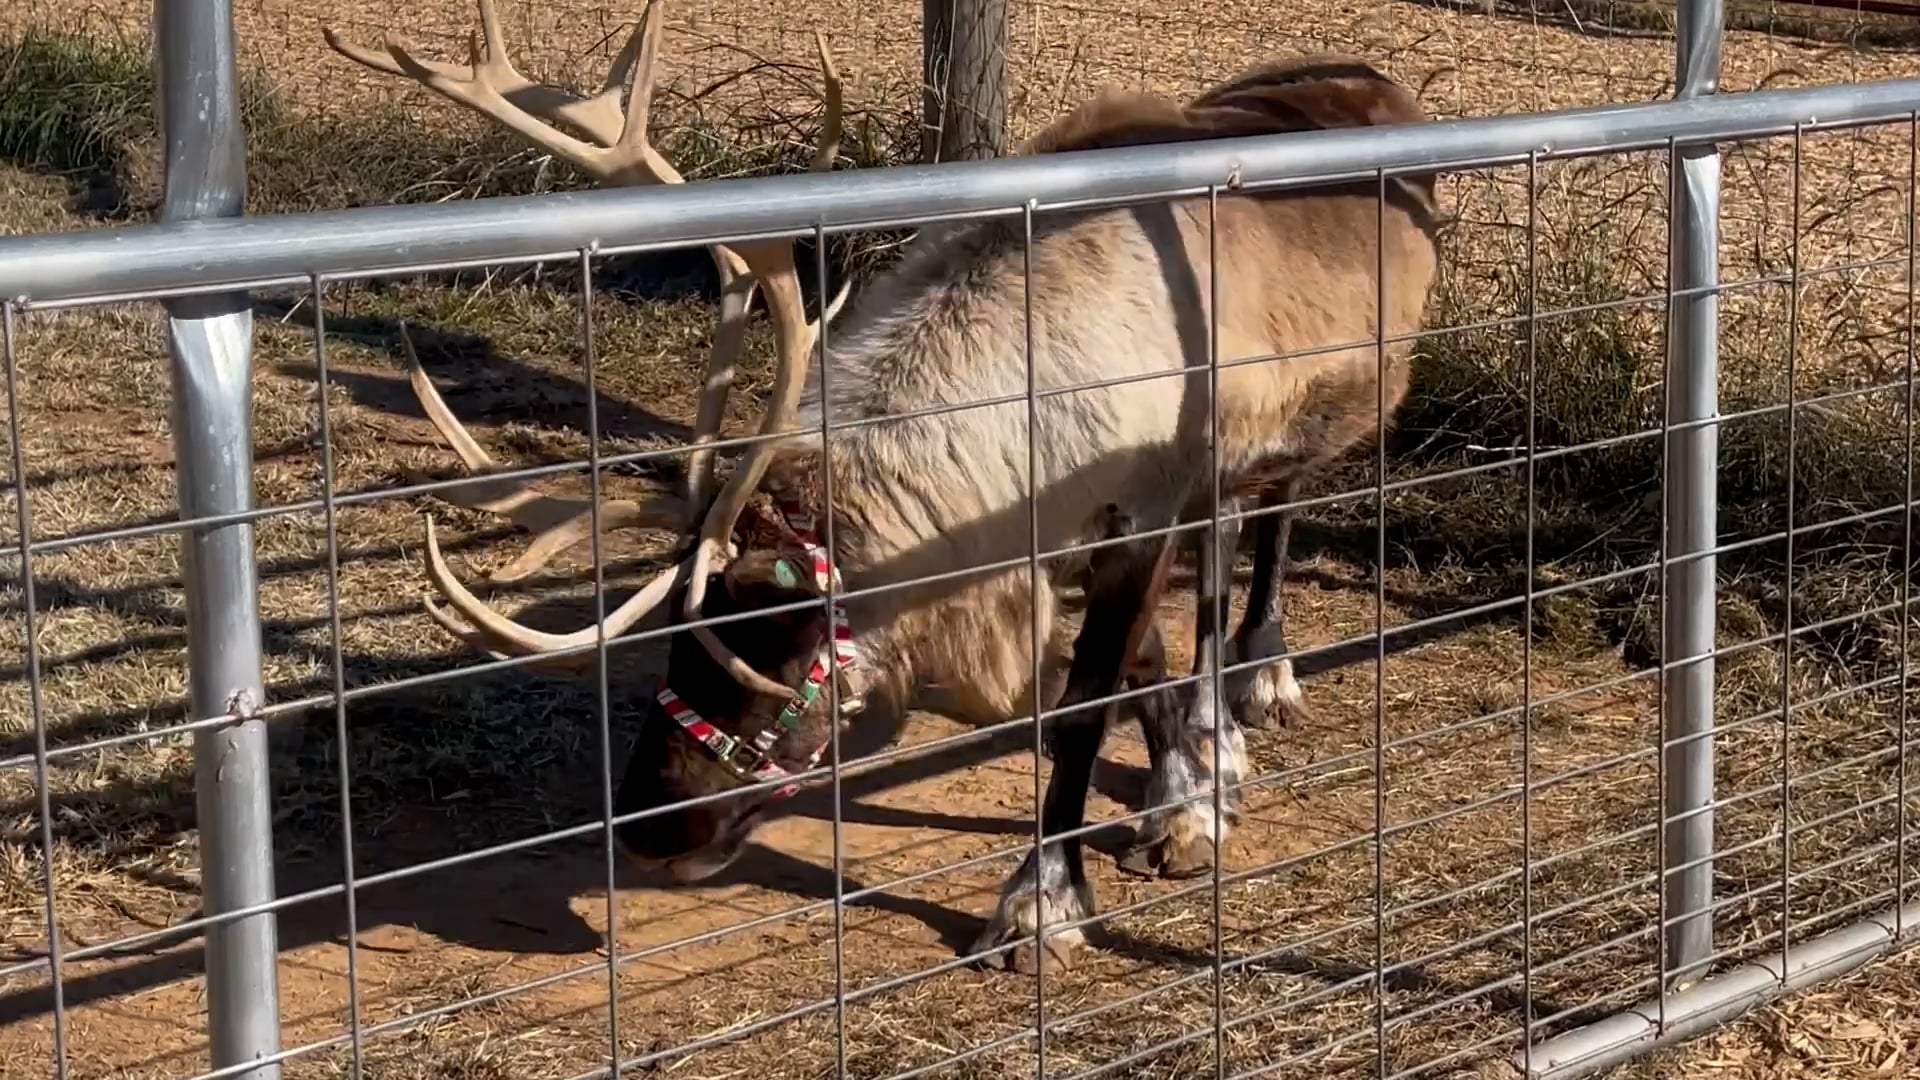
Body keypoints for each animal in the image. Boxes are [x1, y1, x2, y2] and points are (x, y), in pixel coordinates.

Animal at [331, 2, 1442, 974]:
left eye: (772, 650)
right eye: (680, 641)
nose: (649, 828)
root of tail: (1377, 82)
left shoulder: (1148, 501)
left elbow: (1086, 701)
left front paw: (1051, 896)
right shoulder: (1080, 522)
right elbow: (1142, 663)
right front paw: (1192, 786)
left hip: (1338, 411)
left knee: (1273, 517)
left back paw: (1265, 674)